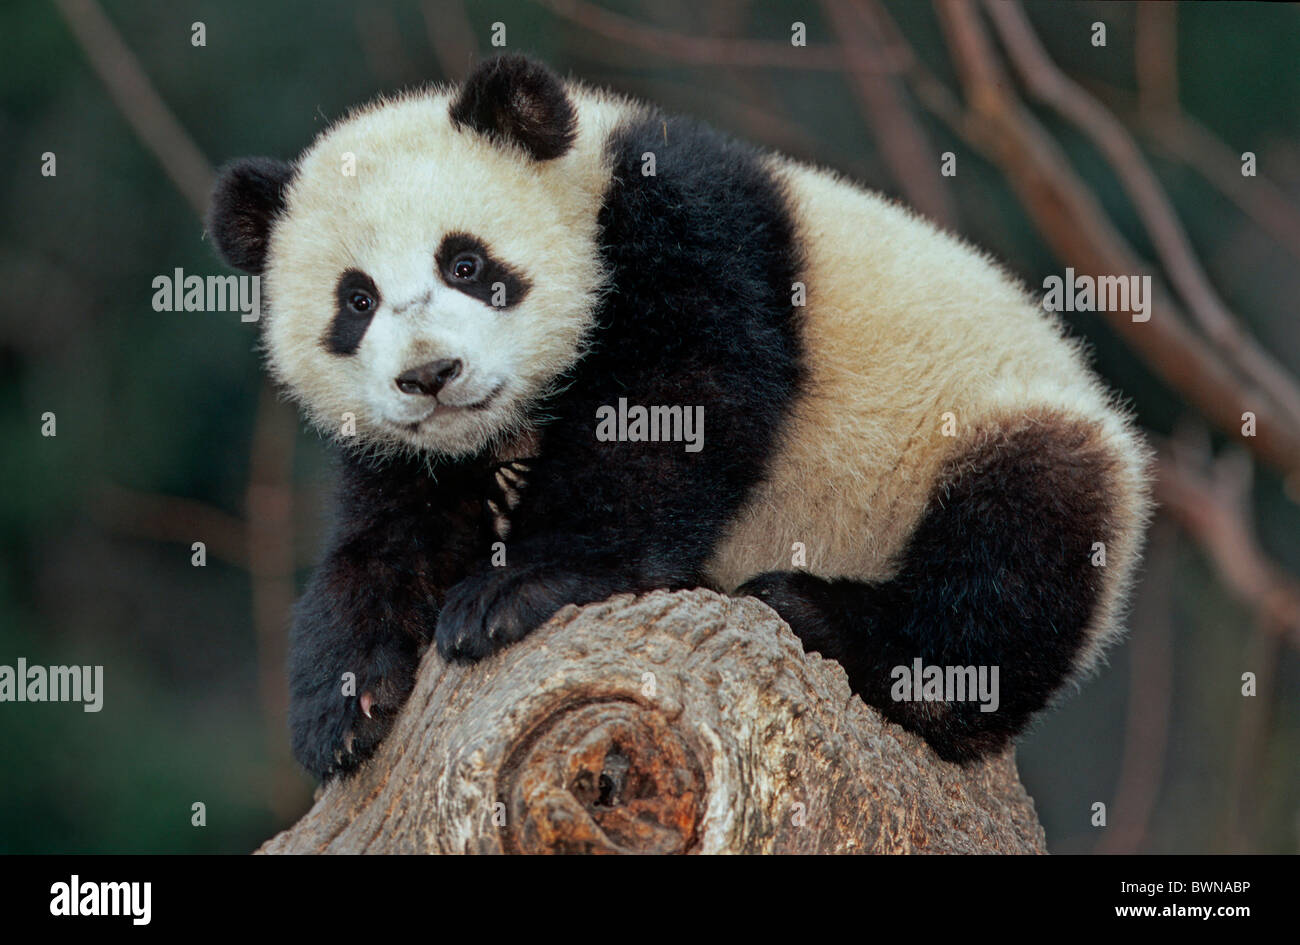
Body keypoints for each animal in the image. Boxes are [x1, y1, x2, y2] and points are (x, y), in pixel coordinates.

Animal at [207, 55, 1152, 780]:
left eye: (467, 263)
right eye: (356, 301)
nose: (432, 375)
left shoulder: (693, 230)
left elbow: (673, 409)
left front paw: (514, 591)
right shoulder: (410, 449)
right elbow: (385, 533)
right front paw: (343, 699)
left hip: (987, 424)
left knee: (1012, 549)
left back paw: (823, 614)